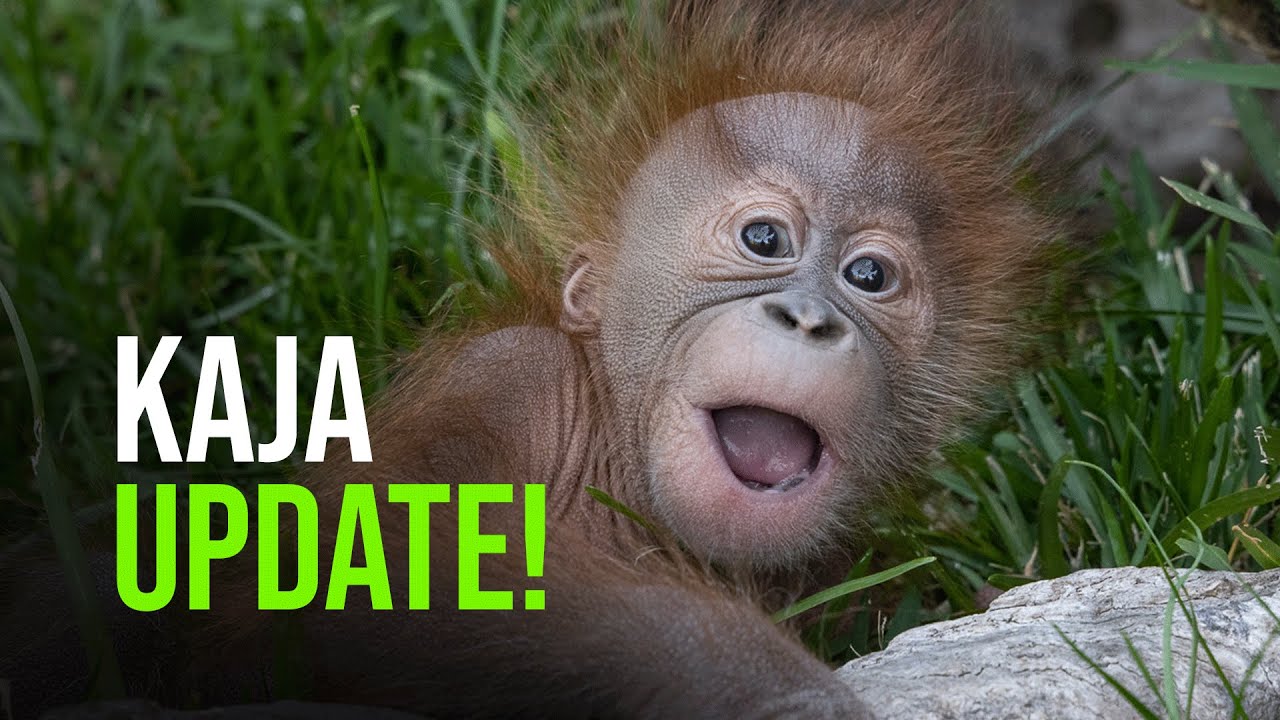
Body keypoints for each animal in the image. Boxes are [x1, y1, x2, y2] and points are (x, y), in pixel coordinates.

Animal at [0, 1, 1063, 717]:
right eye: (764, 239)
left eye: (870, 276)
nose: (807, 318)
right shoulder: (509, 381)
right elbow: (386, 566)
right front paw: (777, 696)